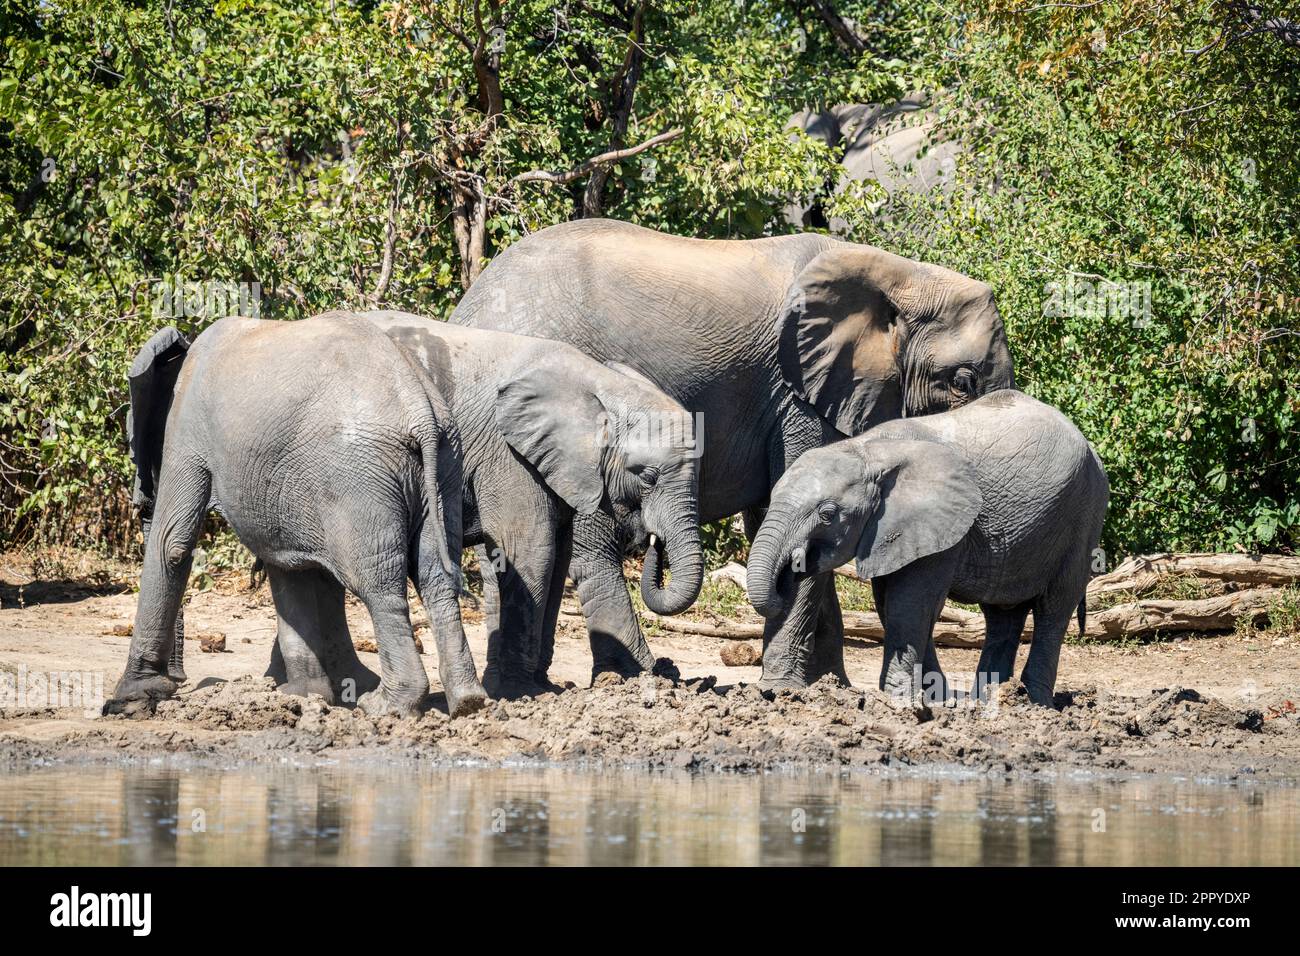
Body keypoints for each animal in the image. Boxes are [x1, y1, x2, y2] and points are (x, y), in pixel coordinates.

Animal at [109, 311, 486, 718]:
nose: (178, 681)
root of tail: (420, 411)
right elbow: (286, 563)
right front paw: (303, 696)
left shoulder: (187, 425)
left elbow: (171, 545)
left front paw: (127, 699)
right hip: (446, 464)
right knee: (435, 577)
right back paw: (468, 703)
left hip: (359, 481)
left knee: (378, 584)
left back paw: (386, 706)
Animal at [354, 310, 703, 698]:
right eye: (648, 477)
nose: (653, 541)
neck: (598, 383)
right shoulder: (507, 453)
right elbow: (533, 552)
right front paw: (520, 692)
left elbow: (559, 557)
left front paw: (540, 686)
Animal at [452, 217, 1016, 690]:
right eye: (963, 382)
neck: (904, 275)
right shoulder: (798, 391)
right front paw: (787, 690)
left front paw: (827, 688)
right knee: (586, 540)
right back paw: (638, 678)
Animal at [746, 390, 1108, 708]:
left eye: (828, 514)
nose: (794, 565)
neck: (868, 452)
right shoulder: (889, 531)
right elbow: (891, 603)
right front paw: (935, 697)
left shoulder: (943, 524)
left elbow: (909, 603)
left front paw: (899, 701)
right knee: (1003, 614)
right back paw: (992, 700)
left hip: (1085, 515)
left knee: (1054, 608)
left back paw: (1034, 704)